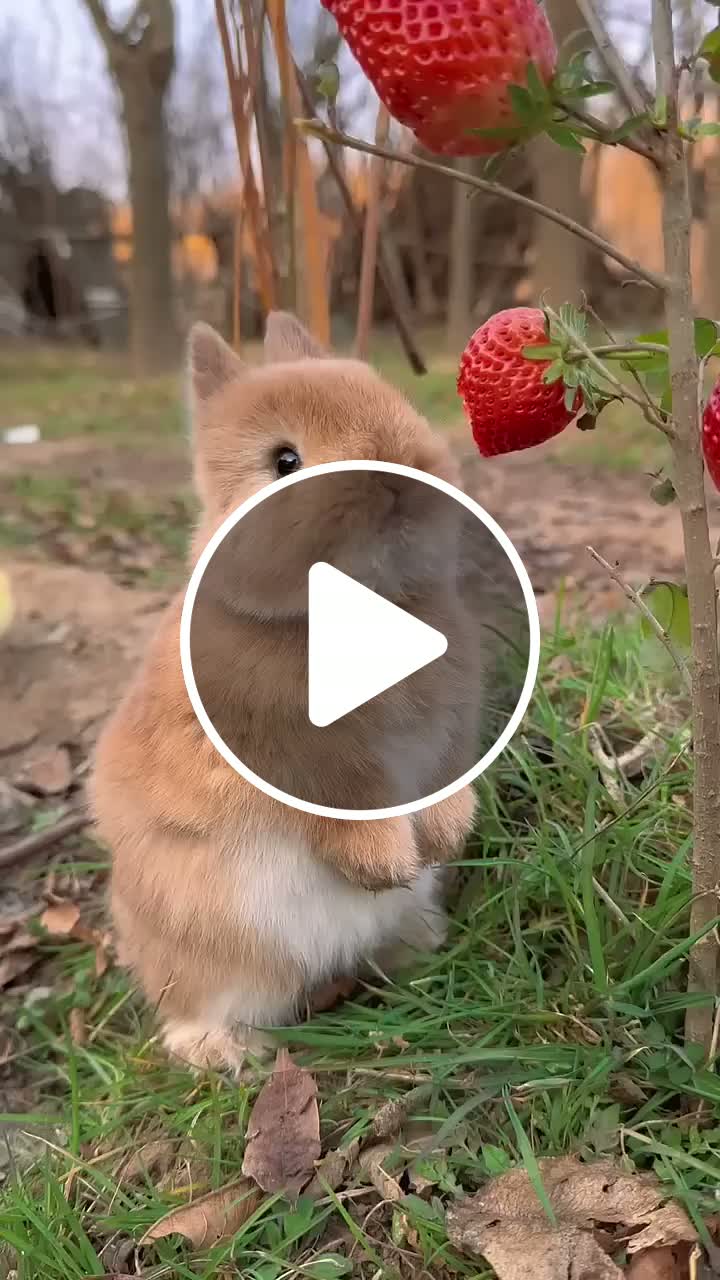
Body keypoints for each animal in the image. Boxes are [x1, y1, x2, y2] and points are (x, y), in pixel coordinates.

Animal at [90, 313, 498, 1074]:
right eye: (284, 461)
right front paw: (383, 865)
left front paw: (444, 836)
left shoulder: (446, 732)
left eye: (389, 397)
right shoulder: (301, 759)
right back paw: (224, 1053)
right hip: (213, 943)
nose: (399, 471)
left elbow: (443, 777)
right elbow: (342, 804)